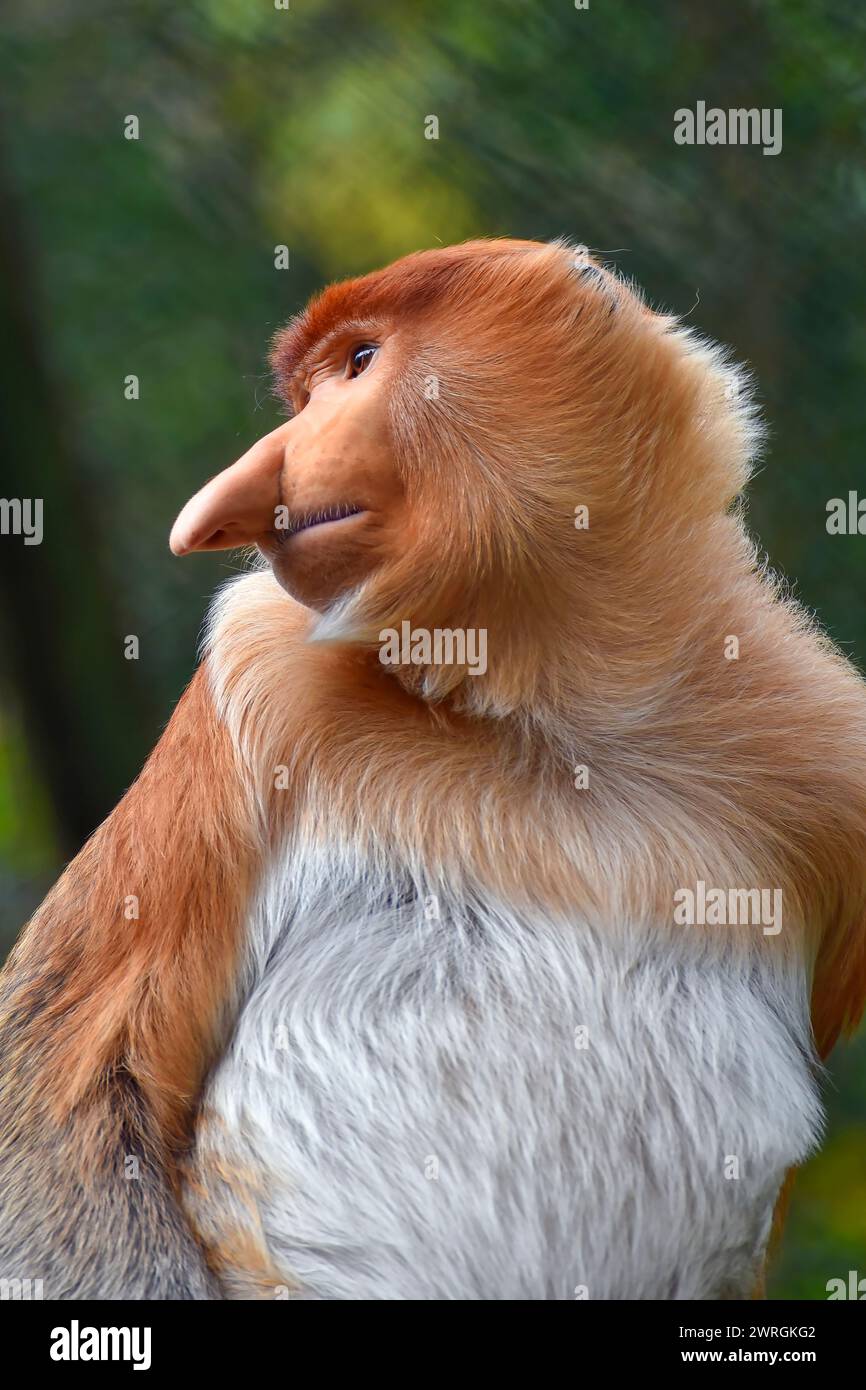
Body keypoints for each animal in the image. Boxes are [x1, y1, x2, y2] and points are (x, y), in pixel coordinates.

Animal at [1, 238, 865, 1300]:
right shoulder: (260, 678)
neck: (557, 723)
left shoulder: (829, 758)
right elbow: (68, 1094)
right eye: (311, 388)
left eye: (361, 363)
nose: (235, 494)